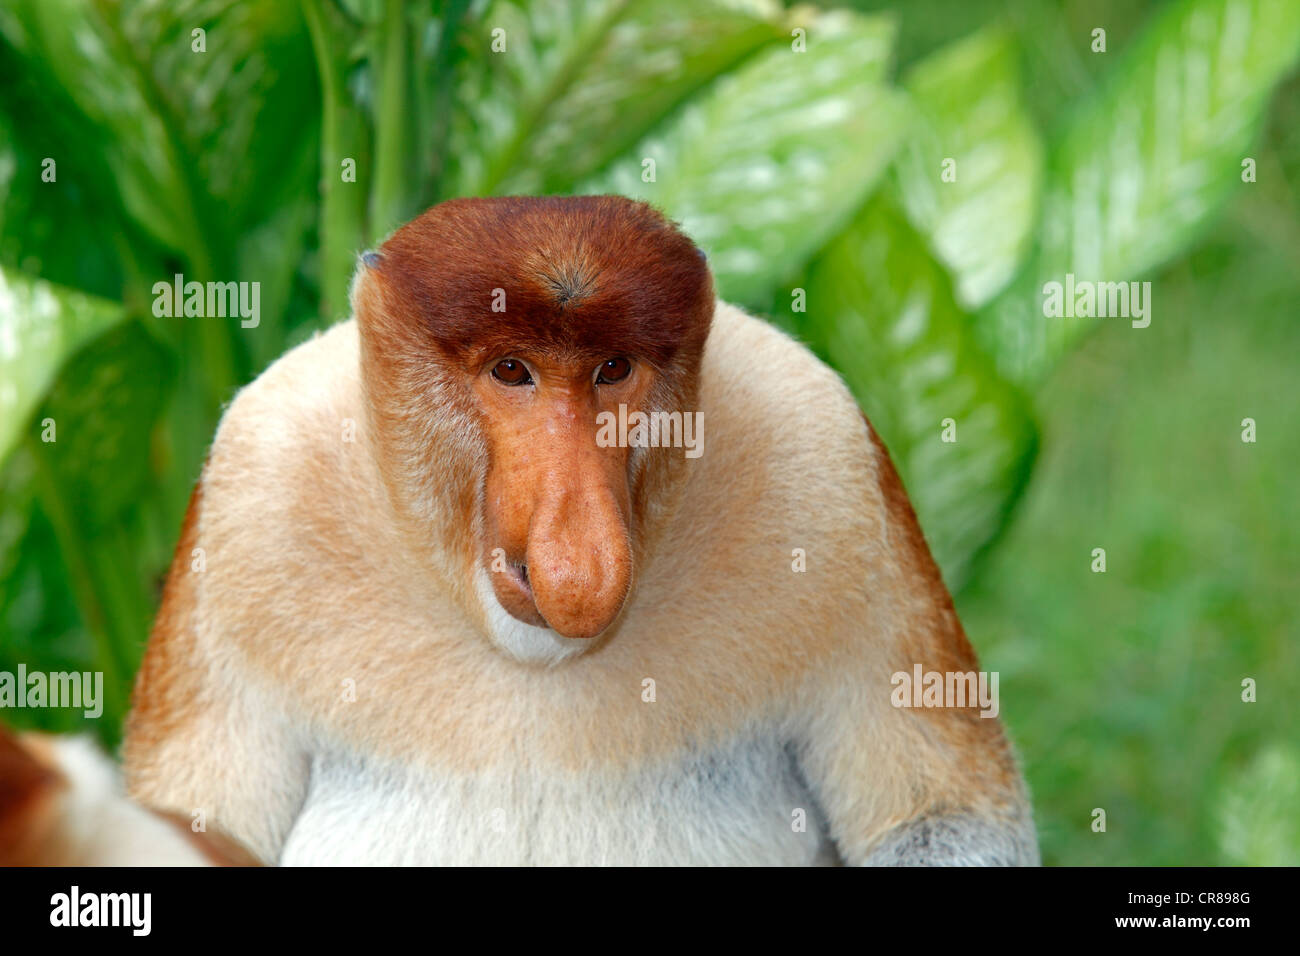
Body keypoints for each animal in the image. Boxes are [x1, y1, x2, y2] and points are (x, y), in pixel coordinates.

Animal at [123, 195, 1038, 865]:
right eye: (511, 370)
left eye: (612, 369)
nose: (581, 557)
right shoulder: (251, 488)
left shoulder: (831, 465)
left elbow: (945, 813)